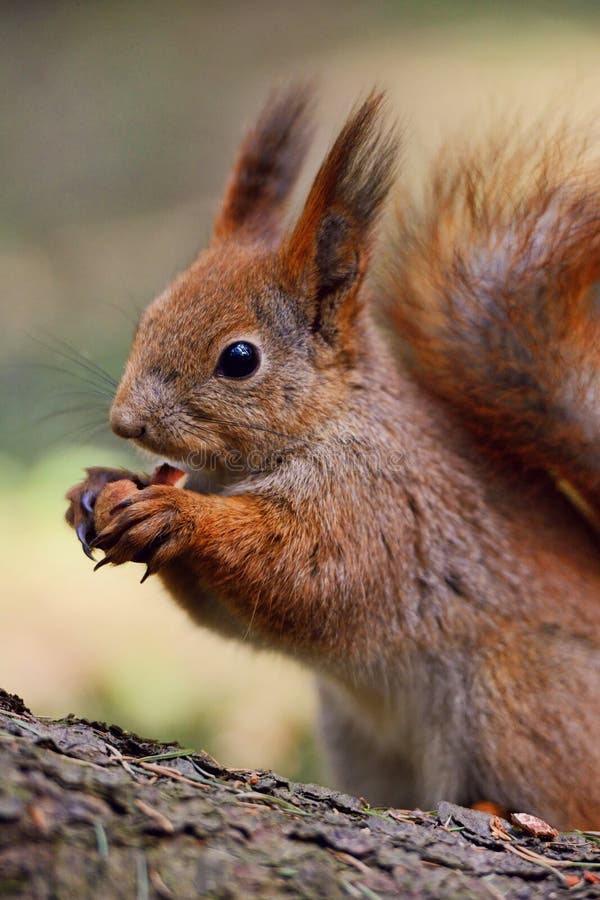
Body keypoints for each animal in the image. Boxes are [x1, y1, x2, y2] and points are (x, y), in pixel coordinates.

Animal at [65, 84, 600, 829]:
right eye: (150, 316)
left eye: (240, 359)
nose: (125, 423)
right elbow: (226, 612)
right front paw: (99, 489)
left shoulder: (381, 509)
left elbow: (307, 574)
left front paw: (175, 515)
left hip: (521, 693)